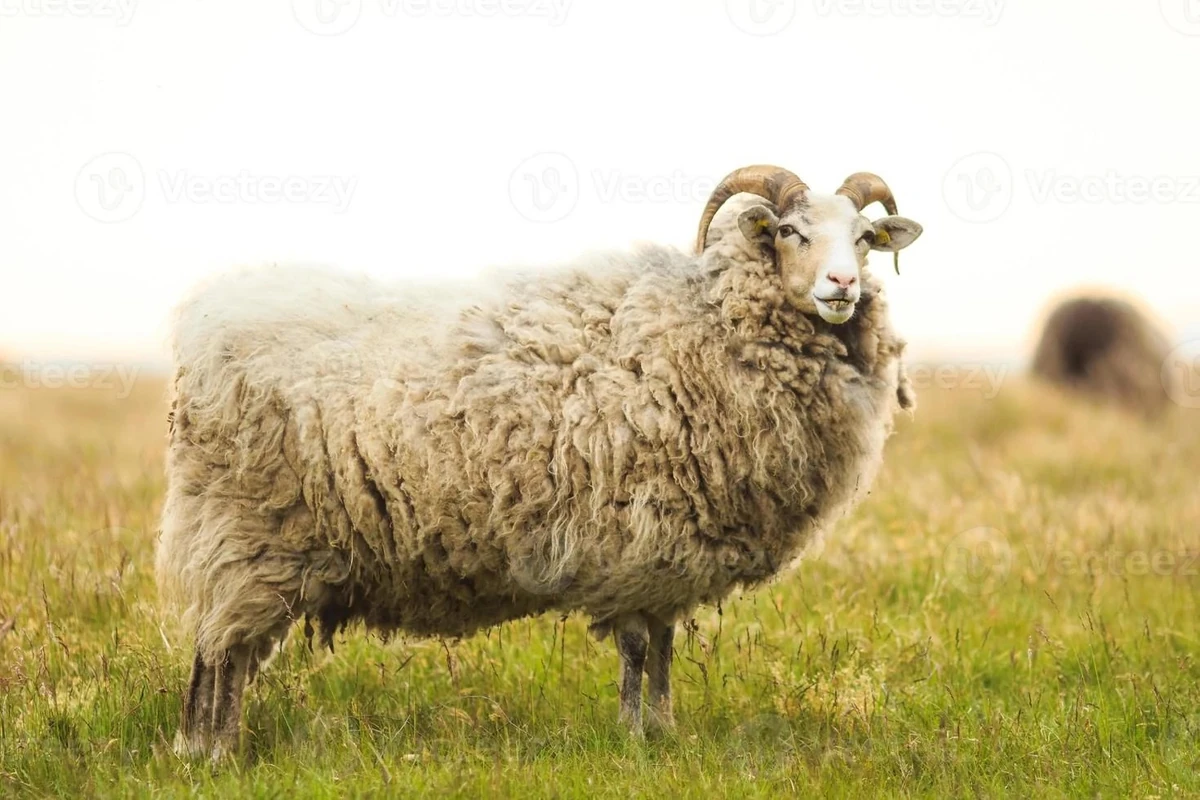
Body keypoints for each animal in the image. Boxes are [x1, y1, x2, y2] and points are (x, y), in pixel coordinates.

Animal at [157, 164, 923, 759]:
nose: (841, 286)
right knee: (216, 649)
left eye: (865, 239)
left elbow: (664, 649)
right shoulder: (634, 540)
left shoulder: (671, 555)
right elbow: (637, 649)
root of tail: (202, 324)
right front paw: (633, 738)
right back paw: (207, 749)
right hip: (246, 530)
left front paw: (665, 731)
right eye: (790, 232)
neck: (706, 320)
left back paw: (217, 745)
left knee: (232, 647)